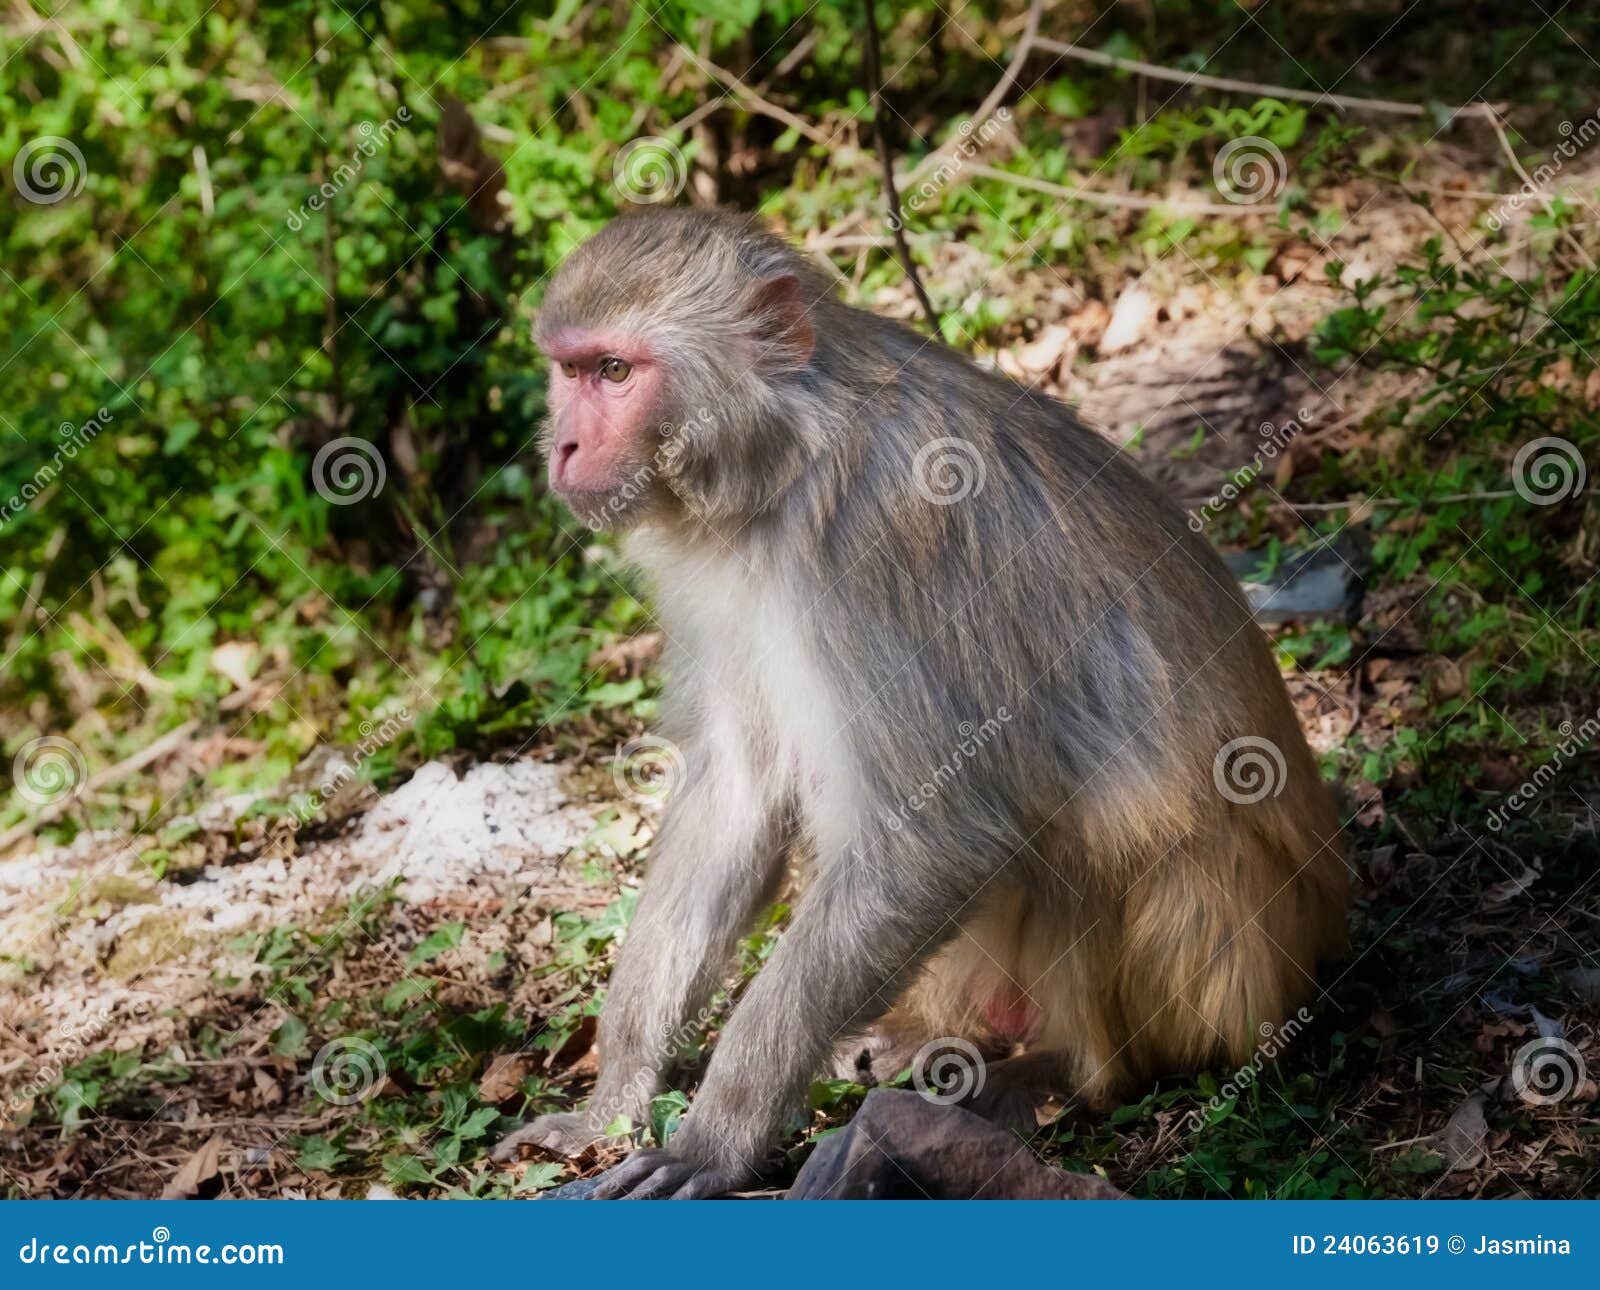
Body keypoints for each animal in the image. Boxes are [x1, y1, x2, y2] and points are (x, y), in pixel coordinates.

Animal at [489, 208, 1349, 1199]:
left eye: (617, 372)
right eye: (569, 369)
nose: (561, 447)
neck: (783, 459)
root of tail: (1321, 940)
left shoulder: (881, 541)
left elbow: (943, 831)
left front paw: (716, 1138)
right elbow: (739, 793)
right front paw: (612, 1103)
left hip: (1234, 973)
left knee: (1095, 840)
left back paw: (1059, 1073)